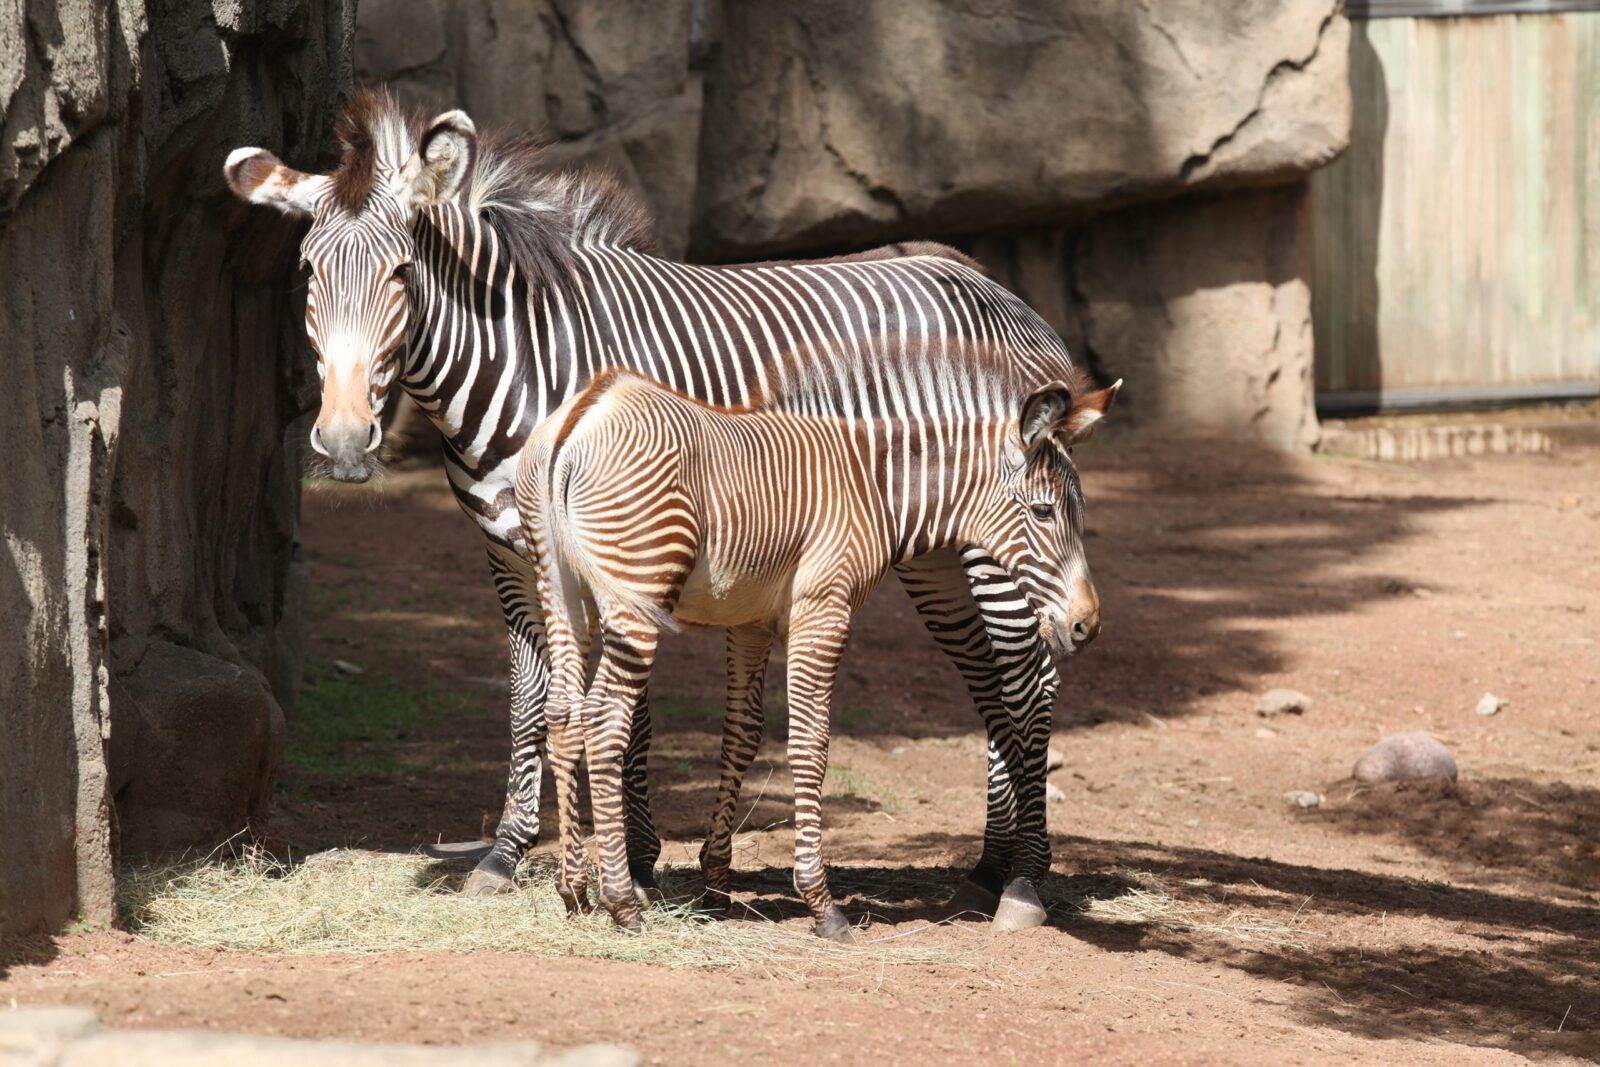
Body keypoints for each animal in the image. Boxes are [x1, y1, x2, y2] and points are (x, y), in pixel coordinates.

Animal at [518, 351, 1117, 936]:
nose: (1087, 625)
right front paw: (821, 904)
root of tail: (586, 415)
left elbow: (741, 736)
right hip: (636, 588)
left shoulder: (750, 619)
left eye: (1080, 514)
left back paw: (574, 891)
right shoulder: (823, 608)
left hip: (559, 588)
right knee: (604, 720)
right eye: (1043, 512)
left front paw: (716, 886)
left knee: (563, 714)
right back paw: (623, 903)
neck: (874, 485)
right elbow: (811, 743)